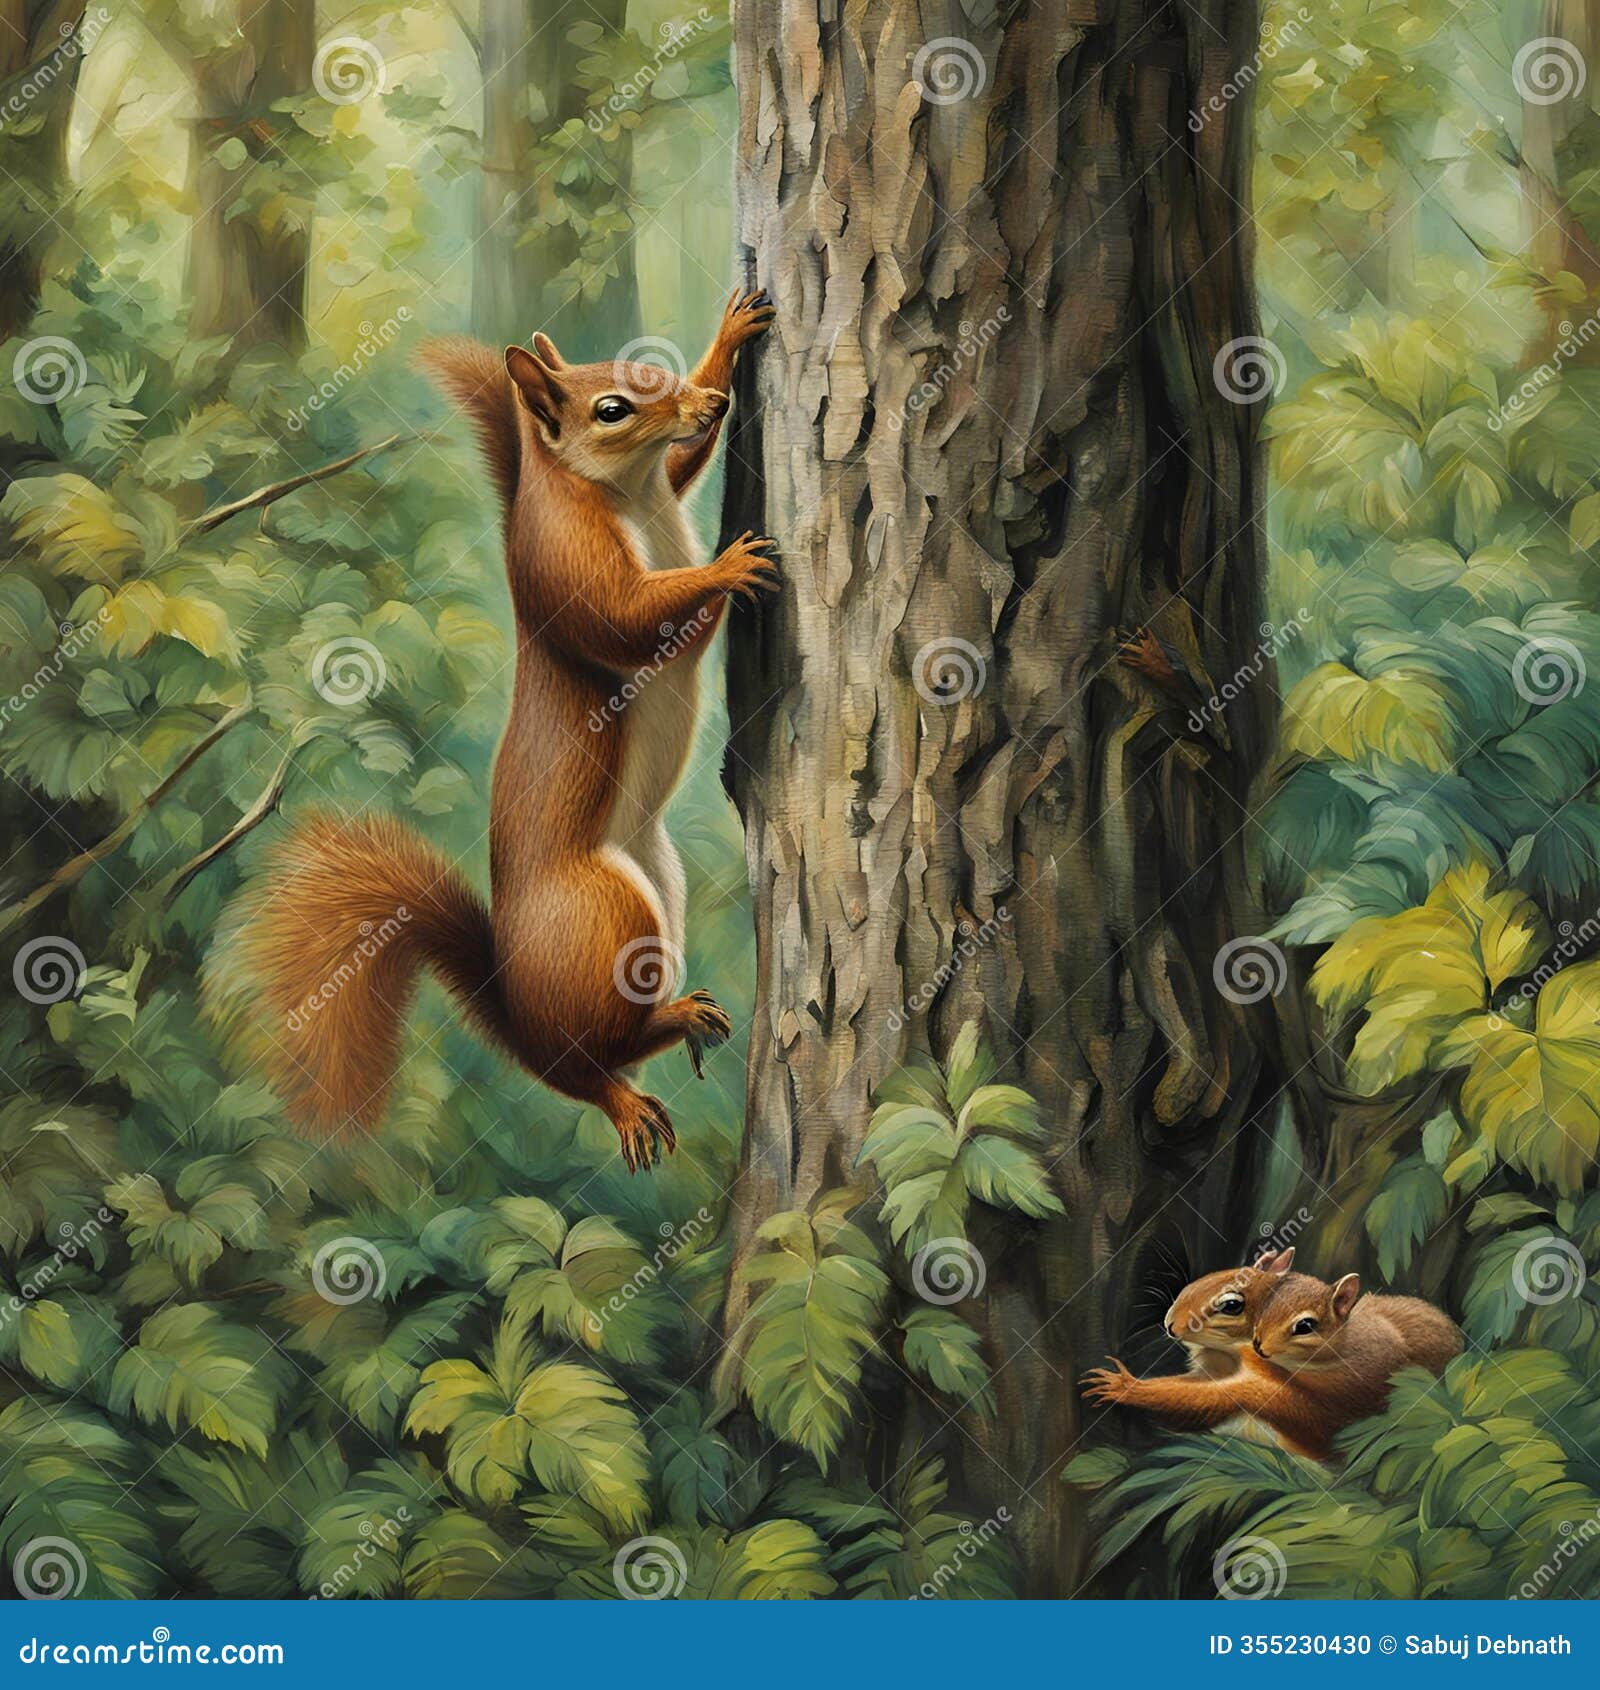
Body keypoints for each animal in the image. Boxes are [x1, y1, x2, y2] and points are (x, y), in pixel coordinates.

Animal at [205, 290, 779, 1174]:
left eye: (655, 373)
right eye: (611, 409)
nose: (711, 403)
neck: (624, 490)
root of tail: (521, 1023)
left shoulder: (668, 483)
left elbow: (688, 467)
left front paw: (730, 337)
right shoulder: (565, 557)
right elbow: (627, 618)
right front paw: (725, 567)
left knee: (599, 1060)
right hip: (606, 918)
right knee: (591, 1063)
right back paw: (644, 1066)